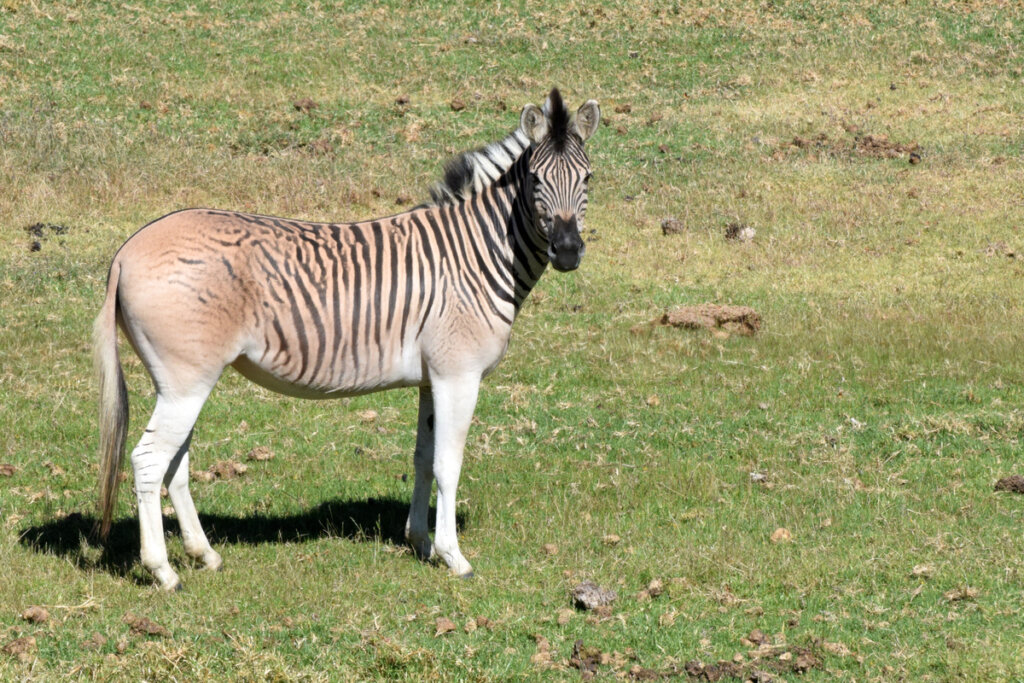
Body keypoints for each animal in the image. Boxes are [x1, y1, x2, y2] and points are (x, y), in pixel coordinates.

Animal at [94, 88, 600, 590]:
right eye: (535, 178)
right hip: (186, 380)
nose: (568, 252)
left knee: (174, 462)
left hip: (183, 382)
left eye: (589, 177)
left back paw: (205, 554)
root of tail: (128, 249)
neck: (475, 256)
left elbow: (422, 457)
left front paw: (419, 542)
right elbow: (448, 464)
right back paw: (163, 571)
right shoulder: (458, 375)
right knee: (147, 460)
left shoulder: (431, 378)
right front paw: (453, 556)